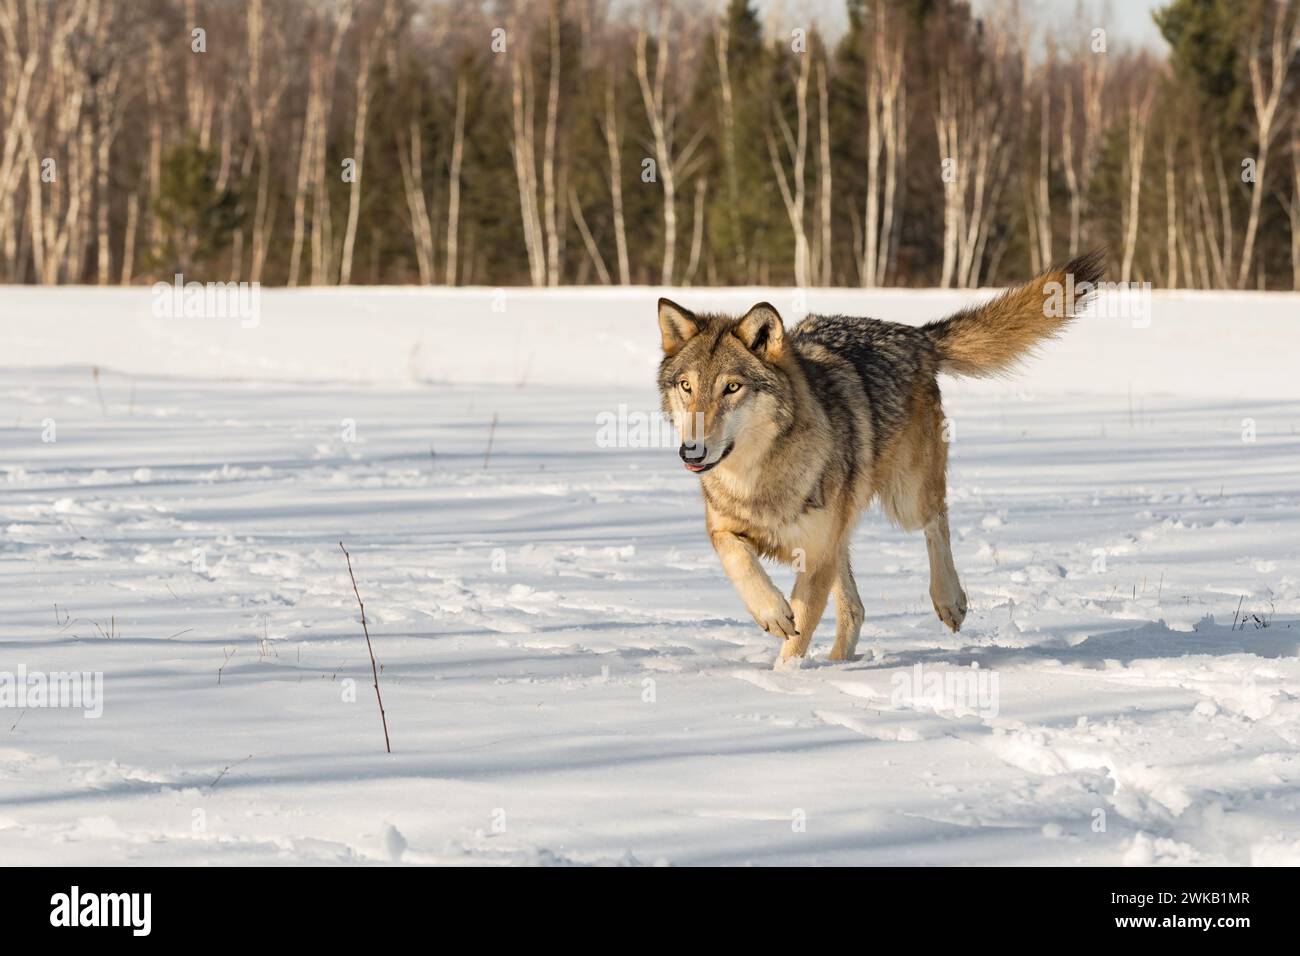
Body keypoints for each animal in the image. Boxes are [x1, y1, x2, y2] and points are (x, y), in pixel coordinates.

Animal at [656, 251, 1104, 663]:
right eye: (686, 386)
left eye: (732, 387)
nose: (691, 450)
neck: (759, 479)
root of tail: (914, 334)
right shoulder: (728, 529)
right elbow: (740, 562)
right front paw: (772, 614)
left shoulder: (817, 557)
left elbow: (795, 642)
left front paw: (786, 683)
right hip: (846, 535)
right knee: (856, 609)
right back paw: (838, 664)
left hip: (904, 502)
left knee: (936, 519)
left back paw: (949, 600)